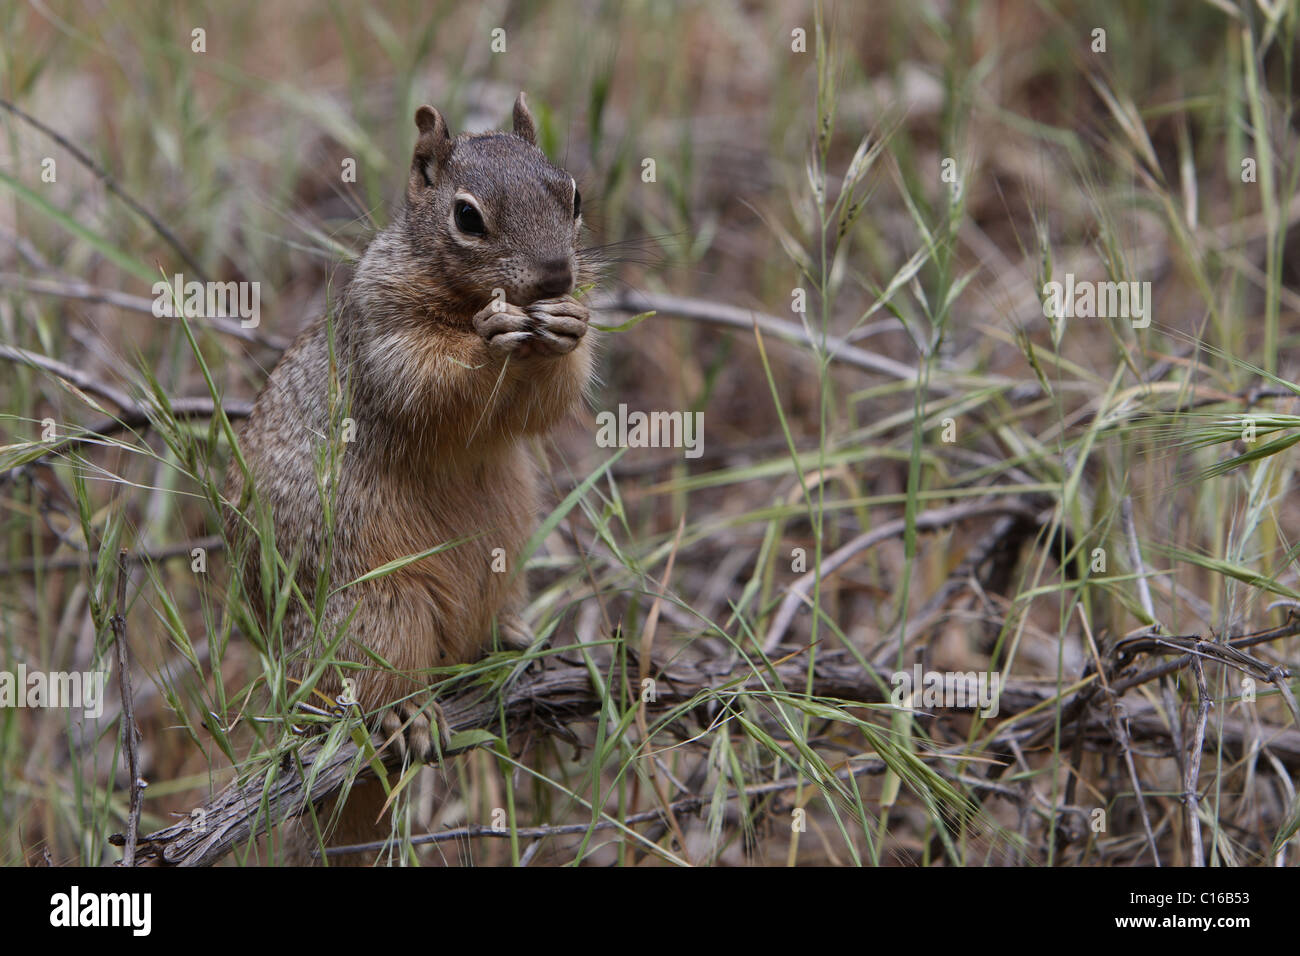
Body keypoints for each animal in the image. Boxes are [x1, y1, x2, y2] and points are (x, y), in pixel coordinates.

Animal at [223, 93, 593, 848]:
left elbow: (546, 401)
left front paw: (568, 323)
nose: (556, 276)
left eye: (573, 195)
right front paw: (488, 339)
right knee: (357, 692)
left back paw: (511, 639)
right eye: (466, 217)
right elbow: (426, 383)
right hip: (376, 612)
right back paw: (401, 714)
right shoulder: (383, 333)